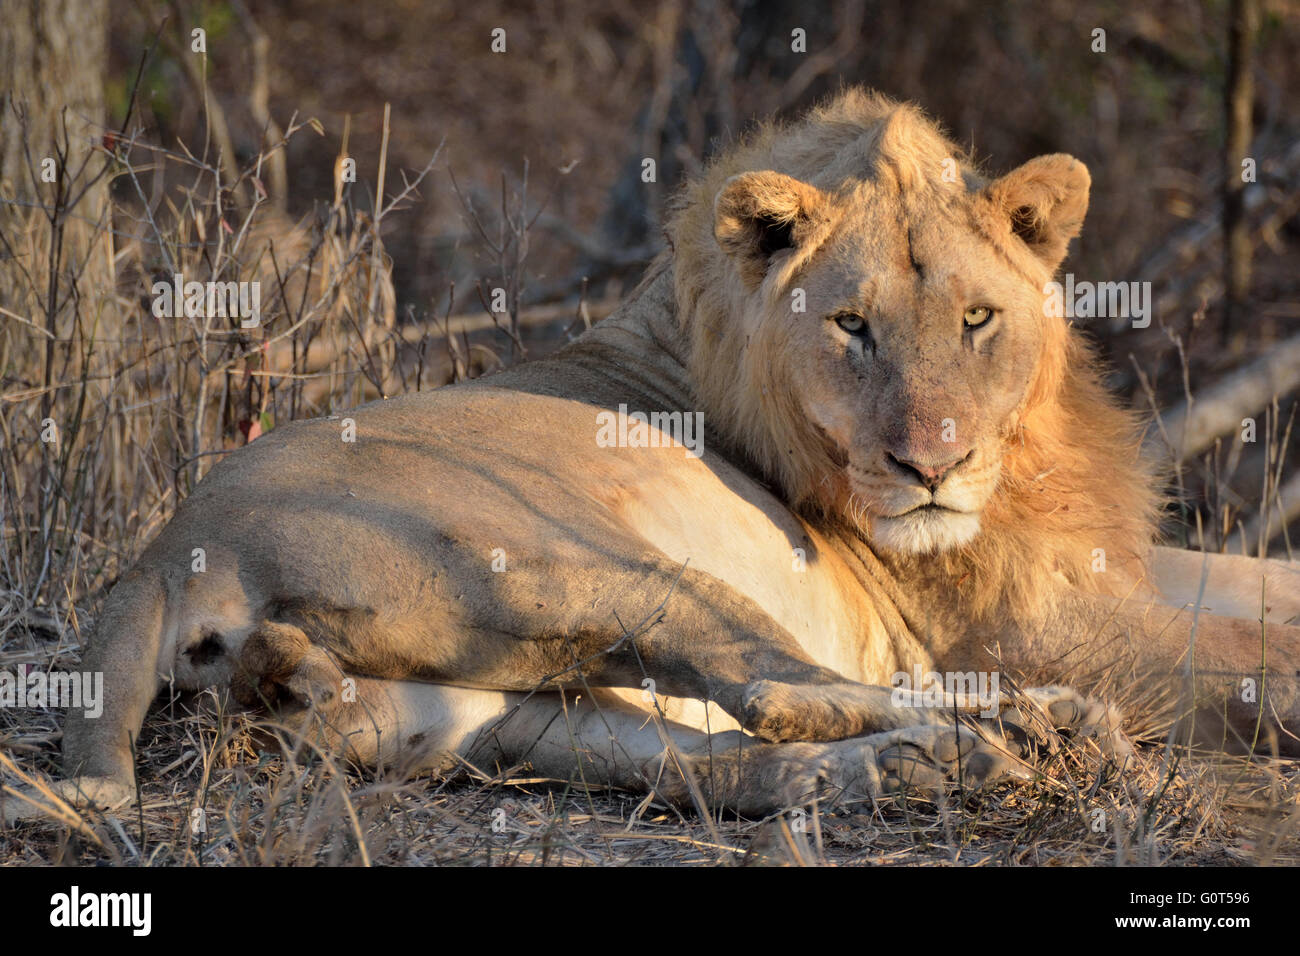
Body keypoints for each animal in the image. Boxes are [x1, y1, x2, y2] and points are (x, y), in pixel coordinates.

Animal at [2, 87, 1300, 822]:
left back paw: (928, 768)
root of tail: (170, 549)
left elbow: (1265, 591)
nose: (928, 467)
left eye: (977, 319)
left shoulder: (1101, 565)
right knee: (780, 688)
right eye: (851, 326)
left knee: (719, 764)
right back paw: (1033, 732)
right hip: (582, 566)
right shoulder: (1026, 621)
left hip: (489, 715)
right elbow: (1251, 662)